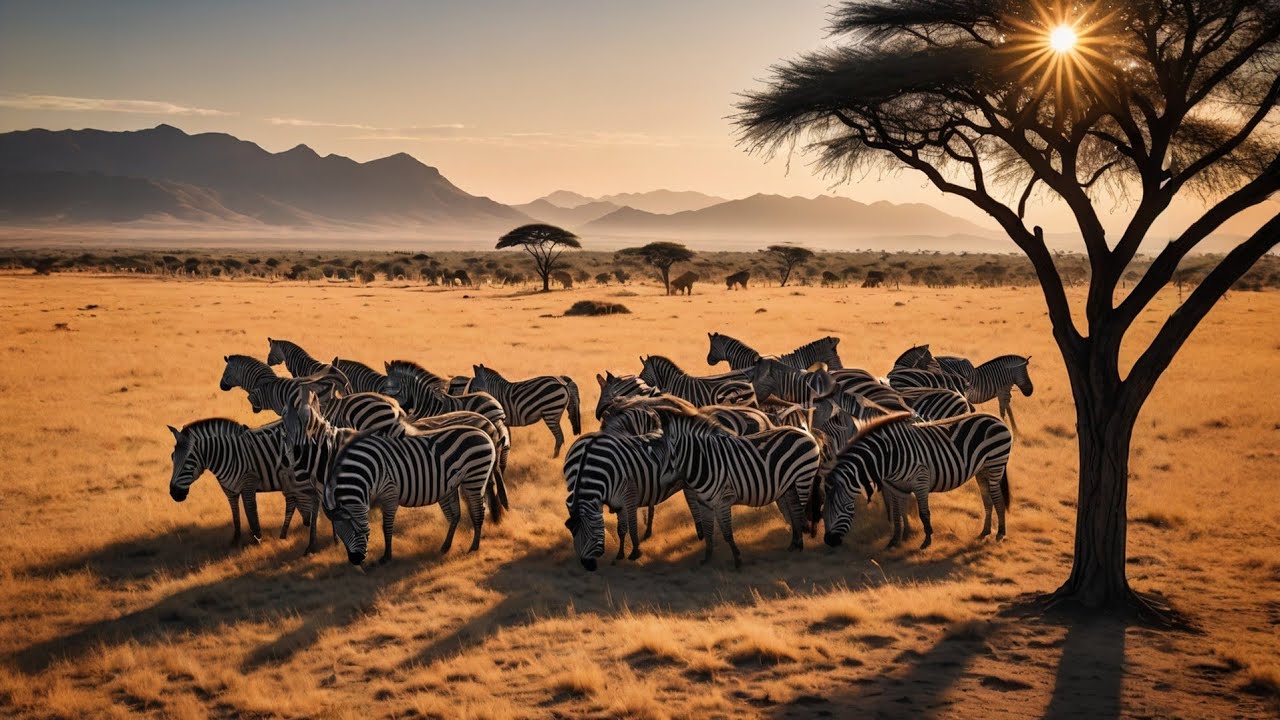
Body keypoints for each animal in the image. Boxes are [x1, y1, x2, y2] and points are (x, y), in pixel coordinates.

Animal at [167, 418, 312, 545]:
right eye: (172, 457)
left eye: (188, 461)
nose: (174, 494)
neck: (228, 455)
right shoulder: (229, 491)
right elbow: (235, 514)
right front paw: (236, 540)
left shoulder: (249, 483)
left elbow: (250, 511)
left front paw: (257, 539)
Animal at [325, 425, 498, 565]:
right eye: (339, 535)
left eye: (355, 530)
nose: (355, 560)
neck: (367, 473)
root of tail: (483, 433)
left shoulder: (390, 493)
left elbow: (386, 527)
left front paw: (386, 557)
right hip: (452, 485)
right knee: (455, 515)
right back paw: (445, 546)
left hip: (475, 477)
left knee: (478, 511)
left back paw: (474, 547)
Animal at [563, 431, 697, 570]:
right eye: (574, 539)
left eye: (593, 538)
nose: (588, 566)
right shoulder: (617, 503)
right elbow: (621, 529)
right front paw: (620, 554)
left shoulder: (629, 496)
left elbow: (632, 526)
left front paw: (635, 553)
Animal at [637, 394, 821, 568]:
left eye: (658, 449)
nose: (658, 482)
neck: (704, 461)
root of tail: (802, 431)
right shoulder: (704, 503)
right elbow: (709, 532)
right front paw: (707, 558)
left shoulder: (723, 500)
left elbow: (727, 533)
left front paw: (737, 560)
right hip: (789, 485)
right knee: (794, 509)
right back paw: (794, 544)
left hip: (803, 477)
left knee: (798, 510)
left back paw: (800, 545)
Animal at [821, 411, 1013, 550]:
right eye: (823, 511)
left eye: (840, 508)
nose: (829, 541)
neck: (888, 457)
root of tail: (996, 419)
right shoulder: (895, 487)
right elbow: (897, 513)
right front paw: (894, 541)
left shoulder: (920, 480)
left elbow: (923, 513)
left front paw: (927, 540)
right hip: (982, 470)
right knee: (987, 501)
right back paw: (984, 532)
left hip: (995, 464)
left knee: (998, 499)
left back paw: (1000, 534)